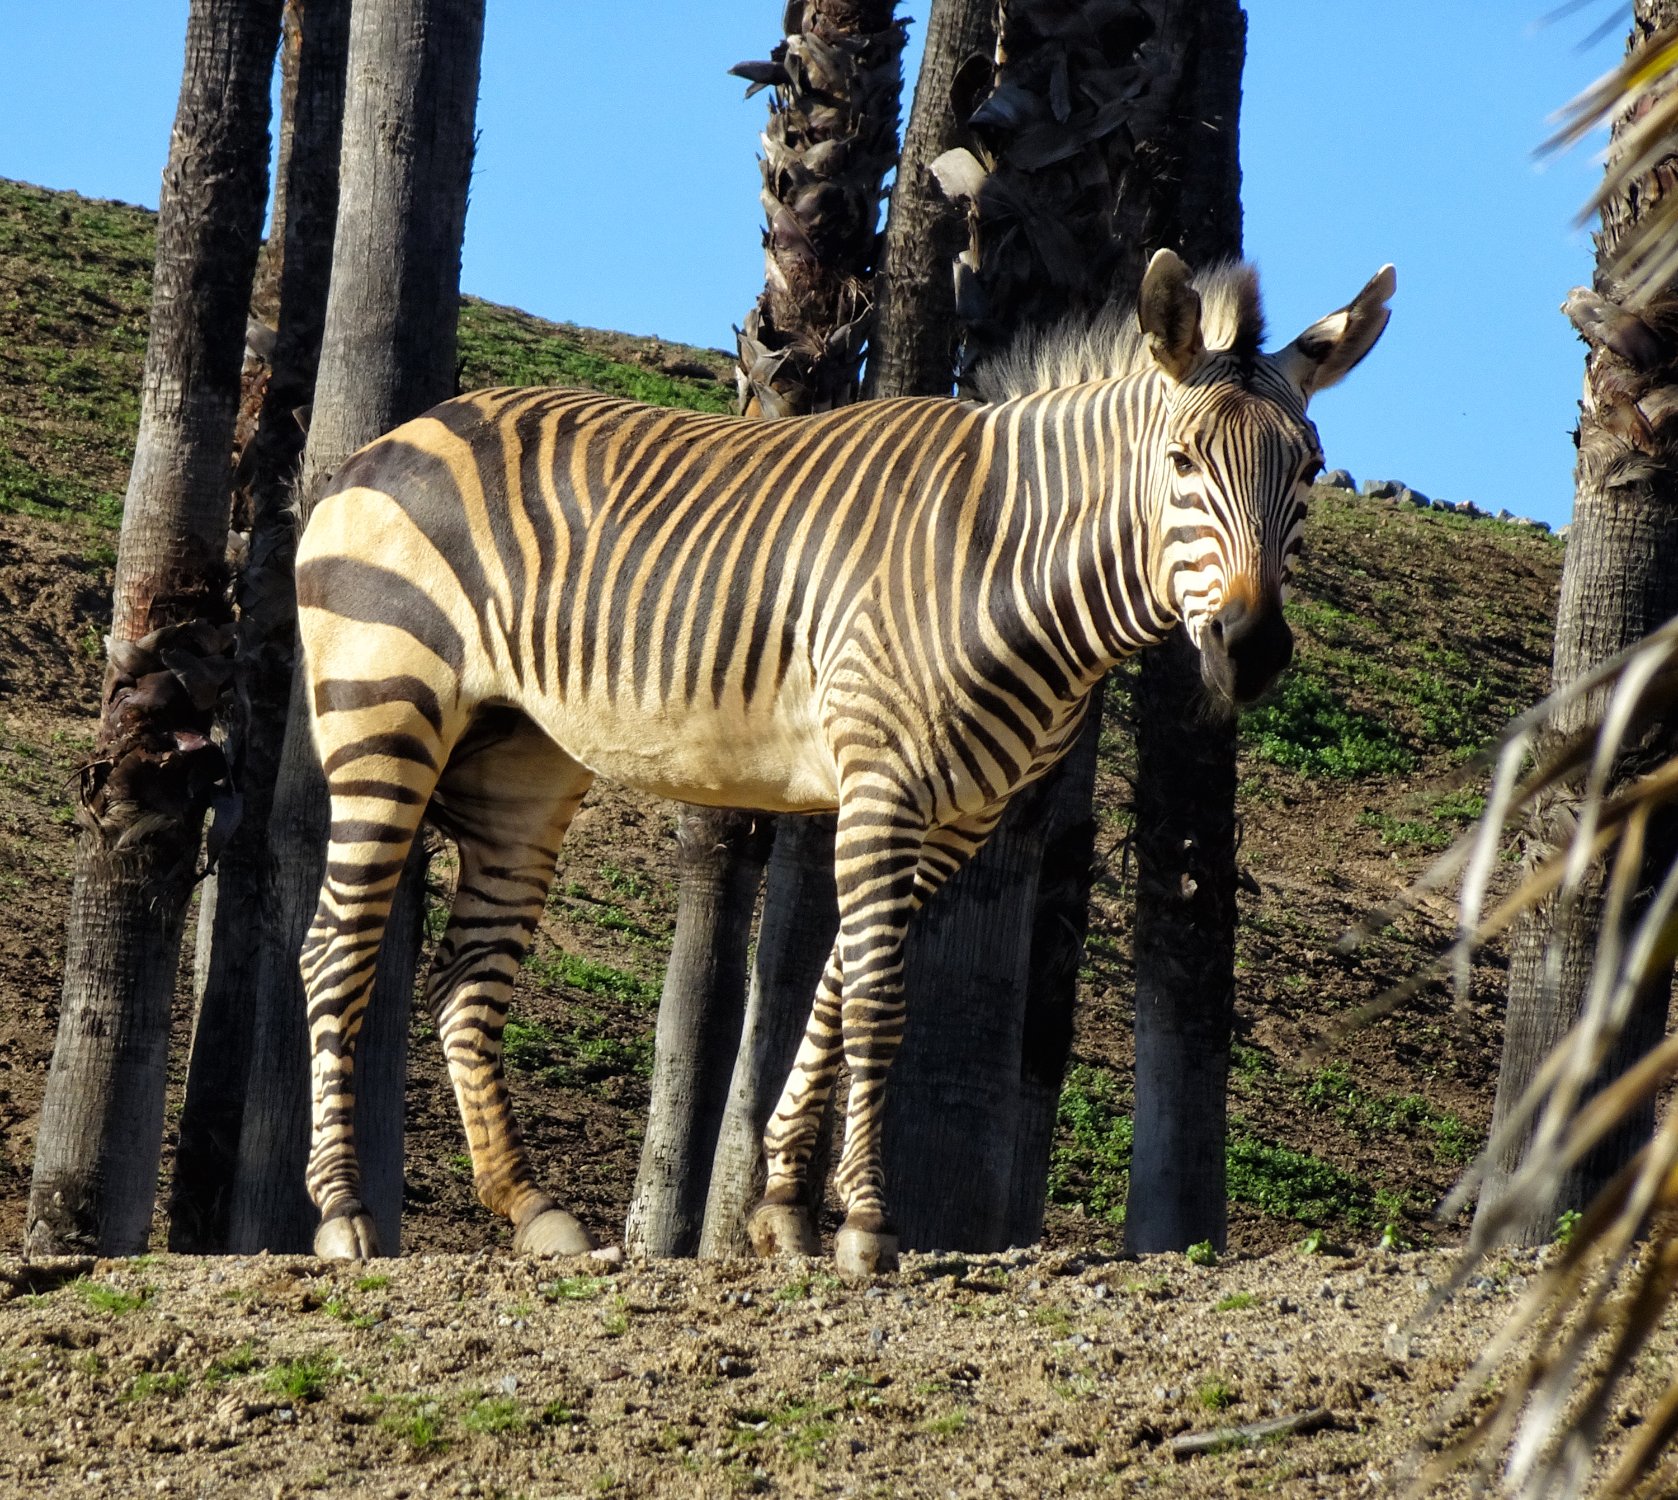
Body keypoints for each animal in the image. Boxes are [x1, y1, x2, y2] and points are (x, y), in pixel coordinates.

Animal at [295, 249, 1393, 1274]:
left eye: (1306, 471)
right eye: (1180, 462)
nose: (1251, 650)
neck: (1002, 560)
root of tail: (389, 442)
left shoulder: (953, 816)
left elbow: (833, 988)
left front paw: (783, 1210)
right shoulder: (885, 780)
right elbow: (877, 1002)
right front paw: (867, 1227)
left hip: (517, 761)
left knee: (465, 980)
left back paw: (535, 1213)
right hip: (384, 710)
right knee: (332, 952)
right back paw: (345, 1219)